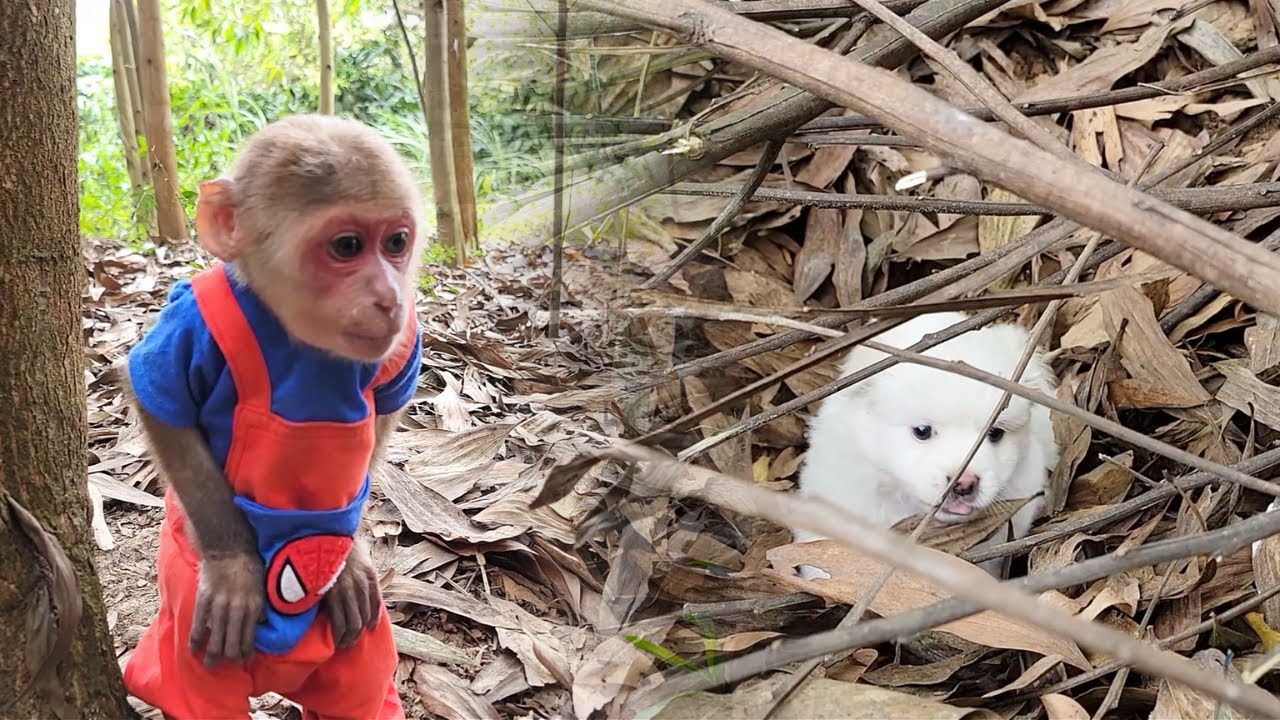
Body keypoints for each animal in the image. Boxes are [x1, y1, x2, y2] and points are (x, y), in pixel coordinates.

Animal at [121, 114, 424, 719]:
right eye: (347, 246)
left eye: (397, 243)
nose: (389, 298)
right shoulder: (189, 322)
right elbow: (159, 405)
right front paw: (233, 564)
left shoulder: (405, 340)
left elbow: (385, 409)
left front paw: (348, 562)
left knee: (360, 680)